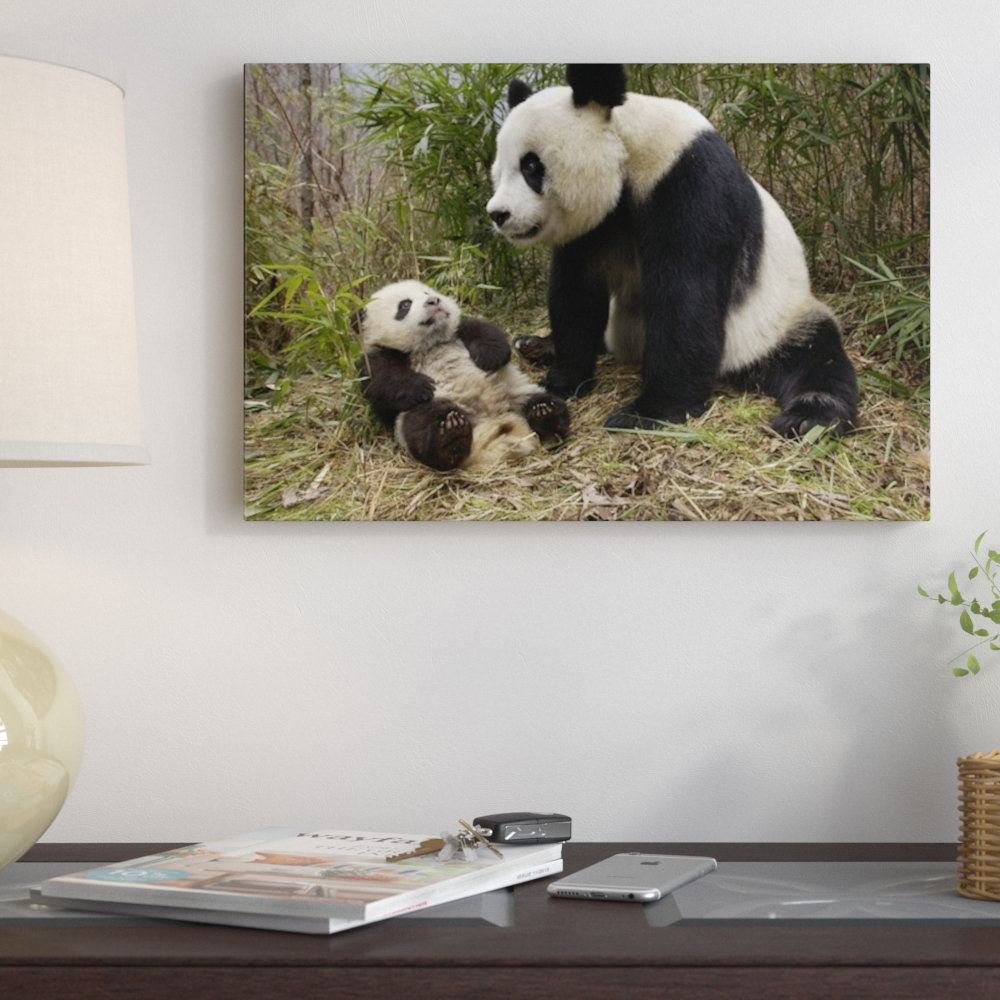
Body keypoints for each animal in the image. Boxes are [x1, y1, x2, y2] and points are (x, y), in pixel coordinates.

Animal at [357, 280, 570, 471]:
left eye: (426, 293)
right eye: (405, 305)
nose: (434, 301)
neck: (431, 343)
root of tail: (495, 423)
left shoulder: (459, 329)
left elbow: (489, 334)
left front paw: (487, 358)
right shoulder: (380, 354)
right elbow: (382, 381)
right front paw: (421, 387)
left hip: (519, 390)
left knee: (541, 400)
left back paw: (546, 413)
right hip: (425, 411)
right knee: (422, 424)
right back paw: (451, 436)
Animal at [486, 64, 858, 437]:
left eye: (531, 167)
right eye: (499, 171)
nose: (498, 214)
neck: (629, 149)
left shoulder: (690, 184)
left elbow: (684, 299)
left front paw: (648, 412)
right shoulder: (595, 226)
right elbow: (577, 292)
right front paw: (564, 380)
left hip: (777, 319)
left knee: (816, 356)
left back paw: (809, 415)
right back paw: (535, 344)